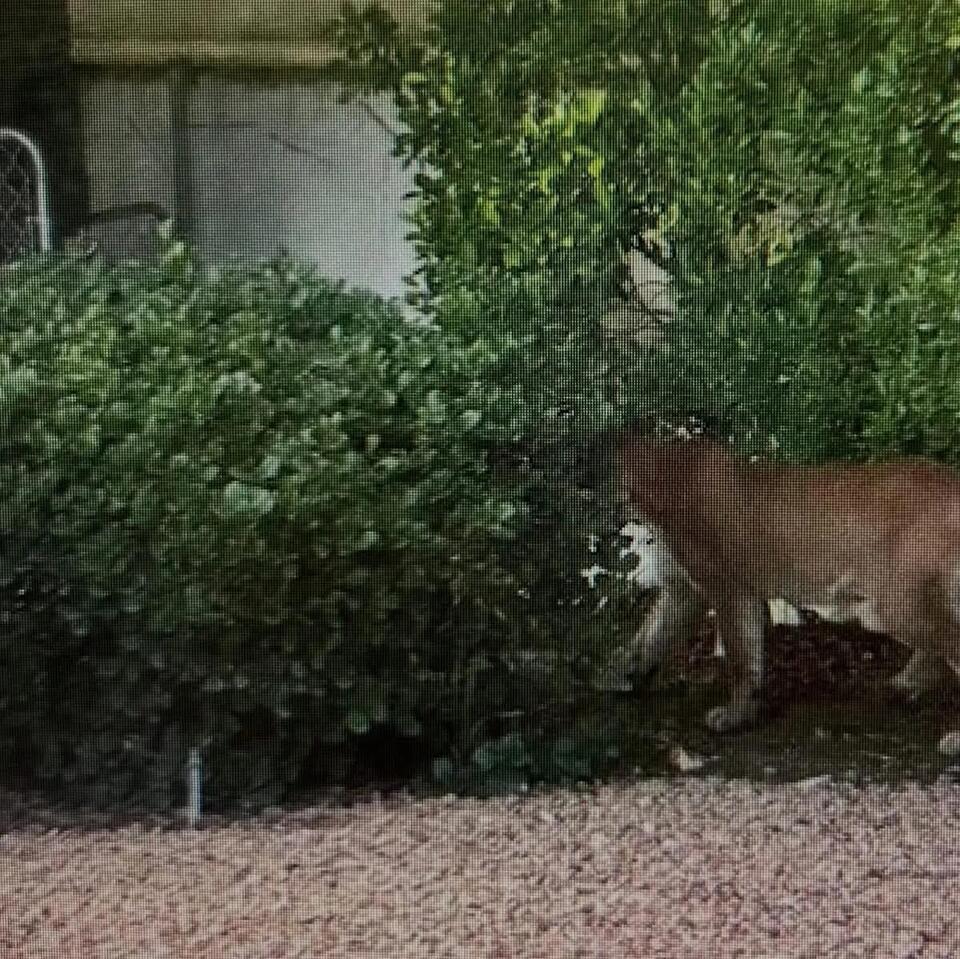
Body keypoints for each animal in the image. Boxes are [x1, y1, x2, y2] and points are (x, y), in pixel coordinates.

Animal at [601, 431, 960, 756]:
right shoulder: (685, 591)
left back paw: (948, 732)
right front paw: (619, 674)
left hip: (893, 606)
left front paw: (735, 716)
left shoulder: (728, 588)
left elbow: (741, 657)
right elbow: (649, 637)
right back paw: (905, 684)